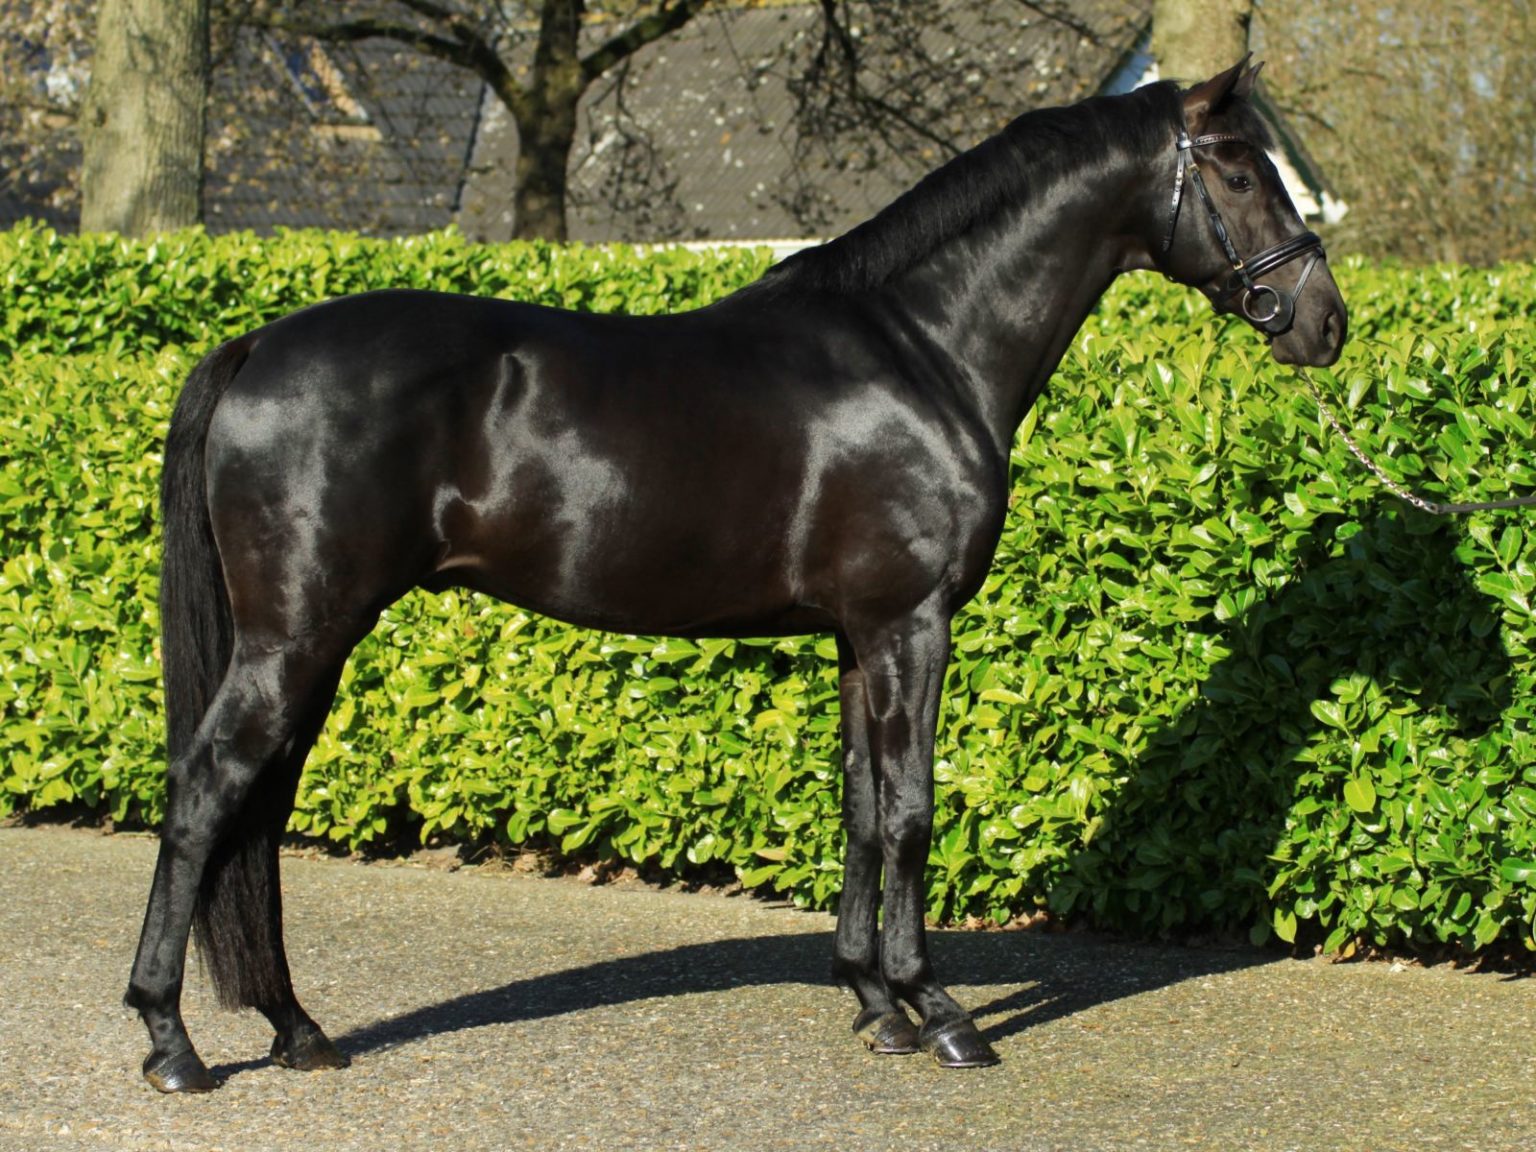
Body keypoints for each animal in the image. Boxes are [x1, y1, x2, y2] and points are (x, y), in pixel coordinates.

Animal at [126, 60, 1347, 1092]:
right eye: (1241, 171)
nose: (1324, 323)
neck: (924, 349)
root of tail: (257, 347)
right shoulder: (912, 624)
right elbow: (912, 811)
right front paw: (940, 1012)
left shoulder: (859, 635)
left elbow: (860, 806)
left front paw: (875, 1005)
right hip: (298, 636)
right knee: (205, 795)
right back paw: (173, 1043)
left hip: (307, 644)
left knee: (258, 811)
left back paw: (295, 1029)